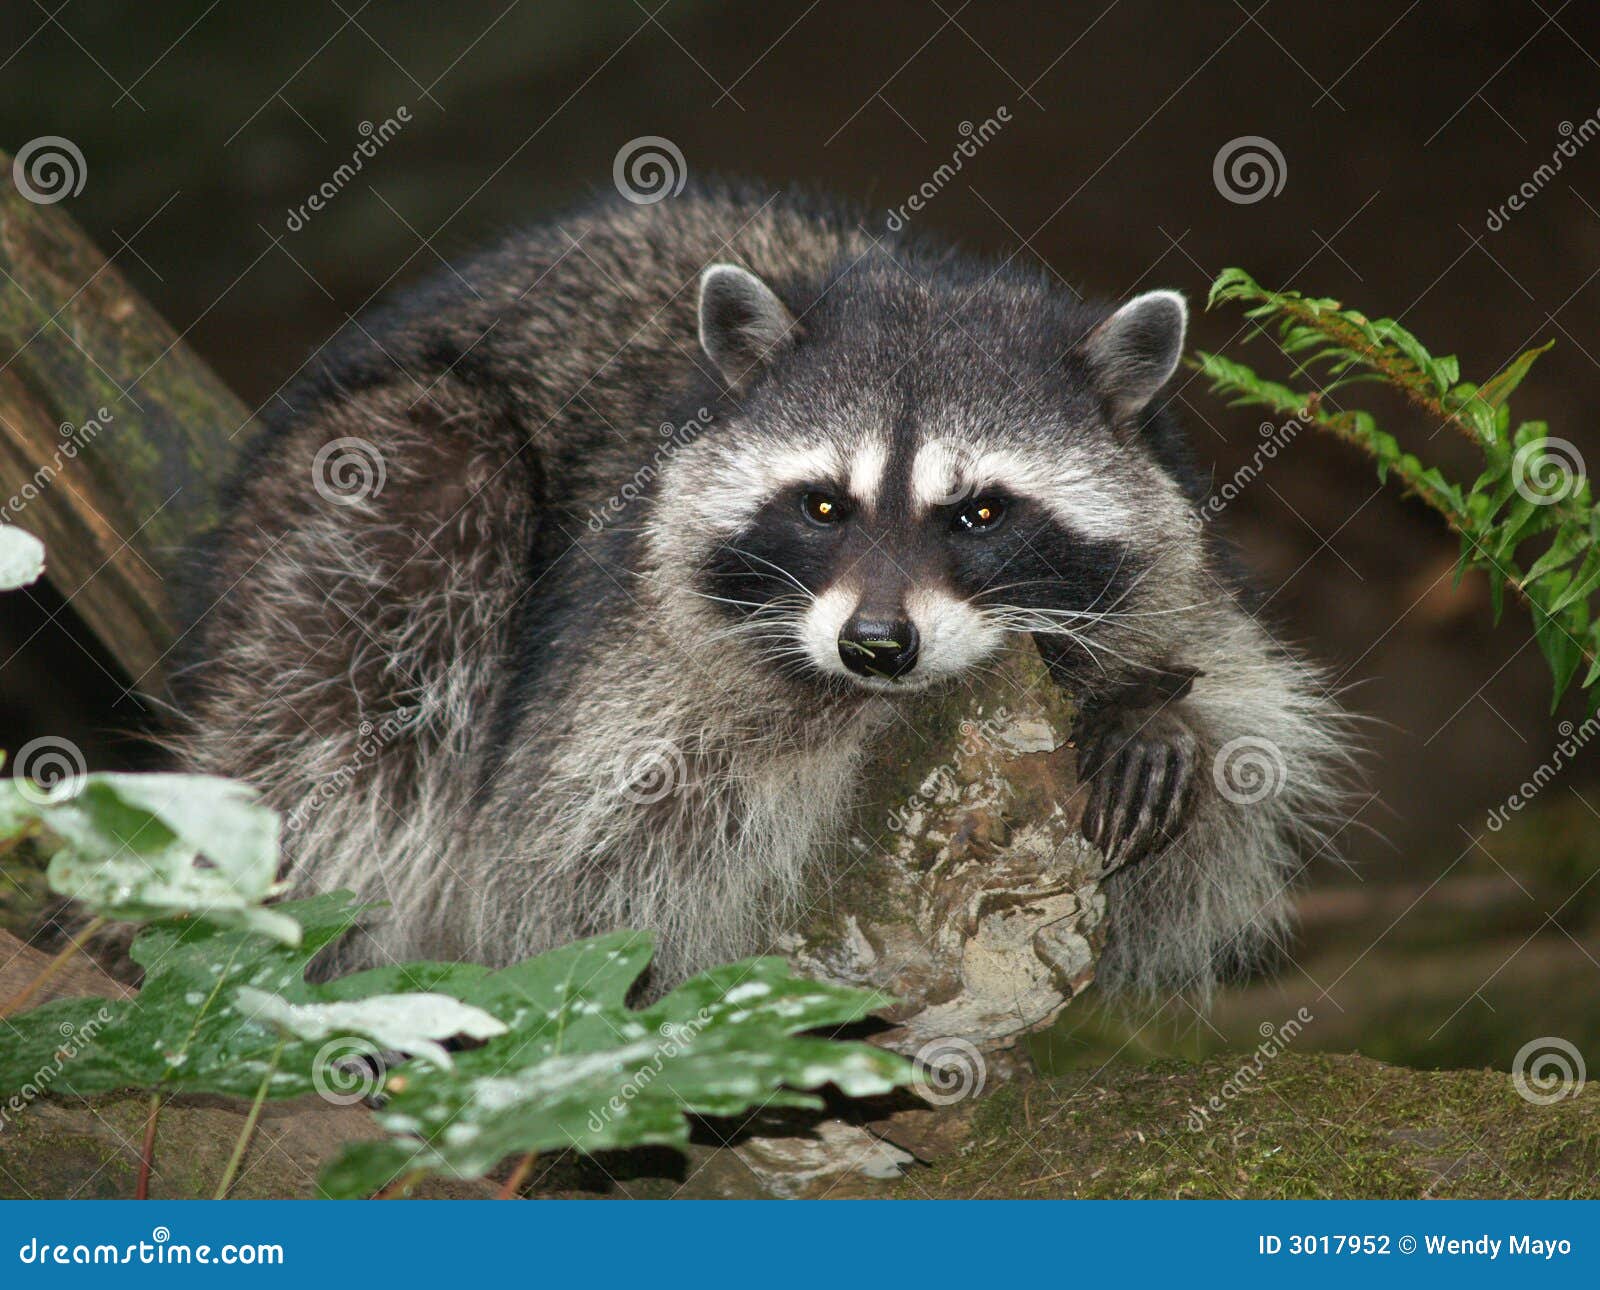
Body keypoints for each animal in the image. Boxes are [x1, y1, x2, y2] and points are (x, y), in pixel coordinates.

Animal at [172, 184, 1355, 997]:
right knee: (351, 702)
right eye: (823, 506)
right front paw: (843, 738)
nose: (876, 648)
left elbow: (1235, 773)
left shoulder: (1187, 584)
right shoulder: (620, 656)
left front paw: (1156, 721)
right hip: (366, 482)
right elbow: (595, 850)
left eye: (980, 515)